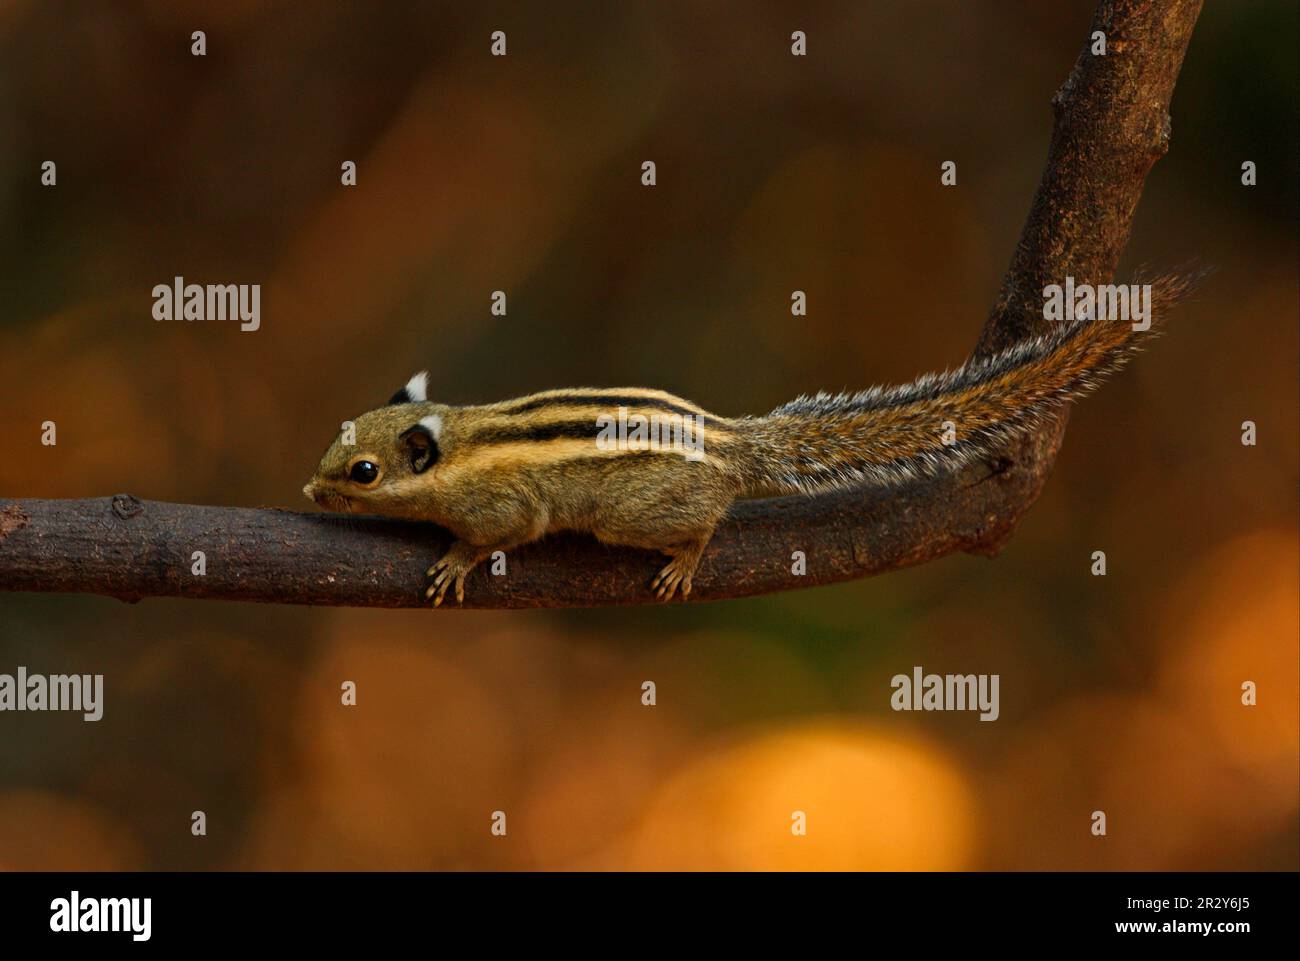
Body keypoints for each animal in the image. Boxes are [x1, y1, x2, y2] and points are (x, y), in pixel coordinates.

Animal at [304, 274, 1196, 605]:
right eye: (337, 444)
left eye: (363, 470)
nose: (310, 489)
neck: (461, 440)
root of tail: (734, 444)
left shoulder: (505, 504)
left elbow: (498, 533)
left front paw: (456, 560)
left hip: (636, 512)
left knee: (704, 519)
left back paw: (688, 558)